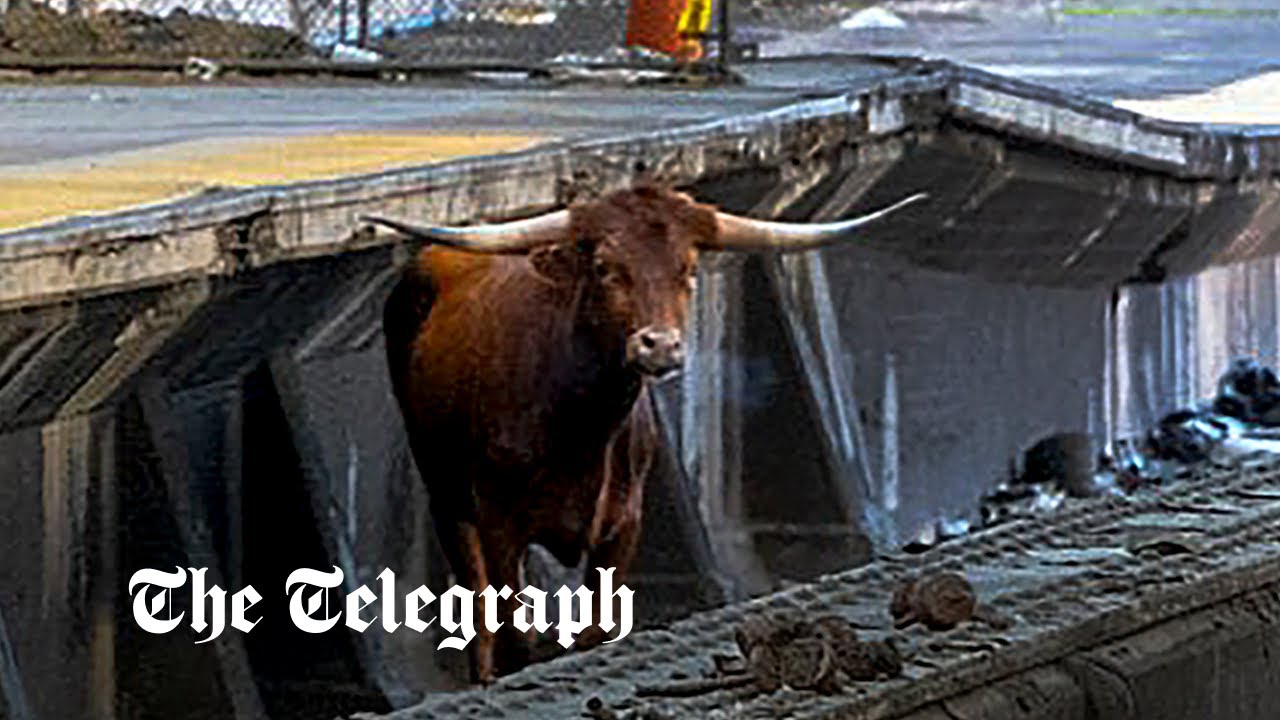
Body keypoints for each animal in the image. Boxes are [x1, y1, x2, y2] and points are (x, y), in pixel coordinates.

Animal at [363, 184, 925, 684]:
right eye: (606, 268)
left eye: (689, 270)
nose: (660, 346)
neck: (576, 428)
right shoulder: (500, 522)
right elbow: (512, 636)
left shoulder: (622, 522)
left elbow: (597, 630)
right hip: (445, 493)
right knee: (477, 607)